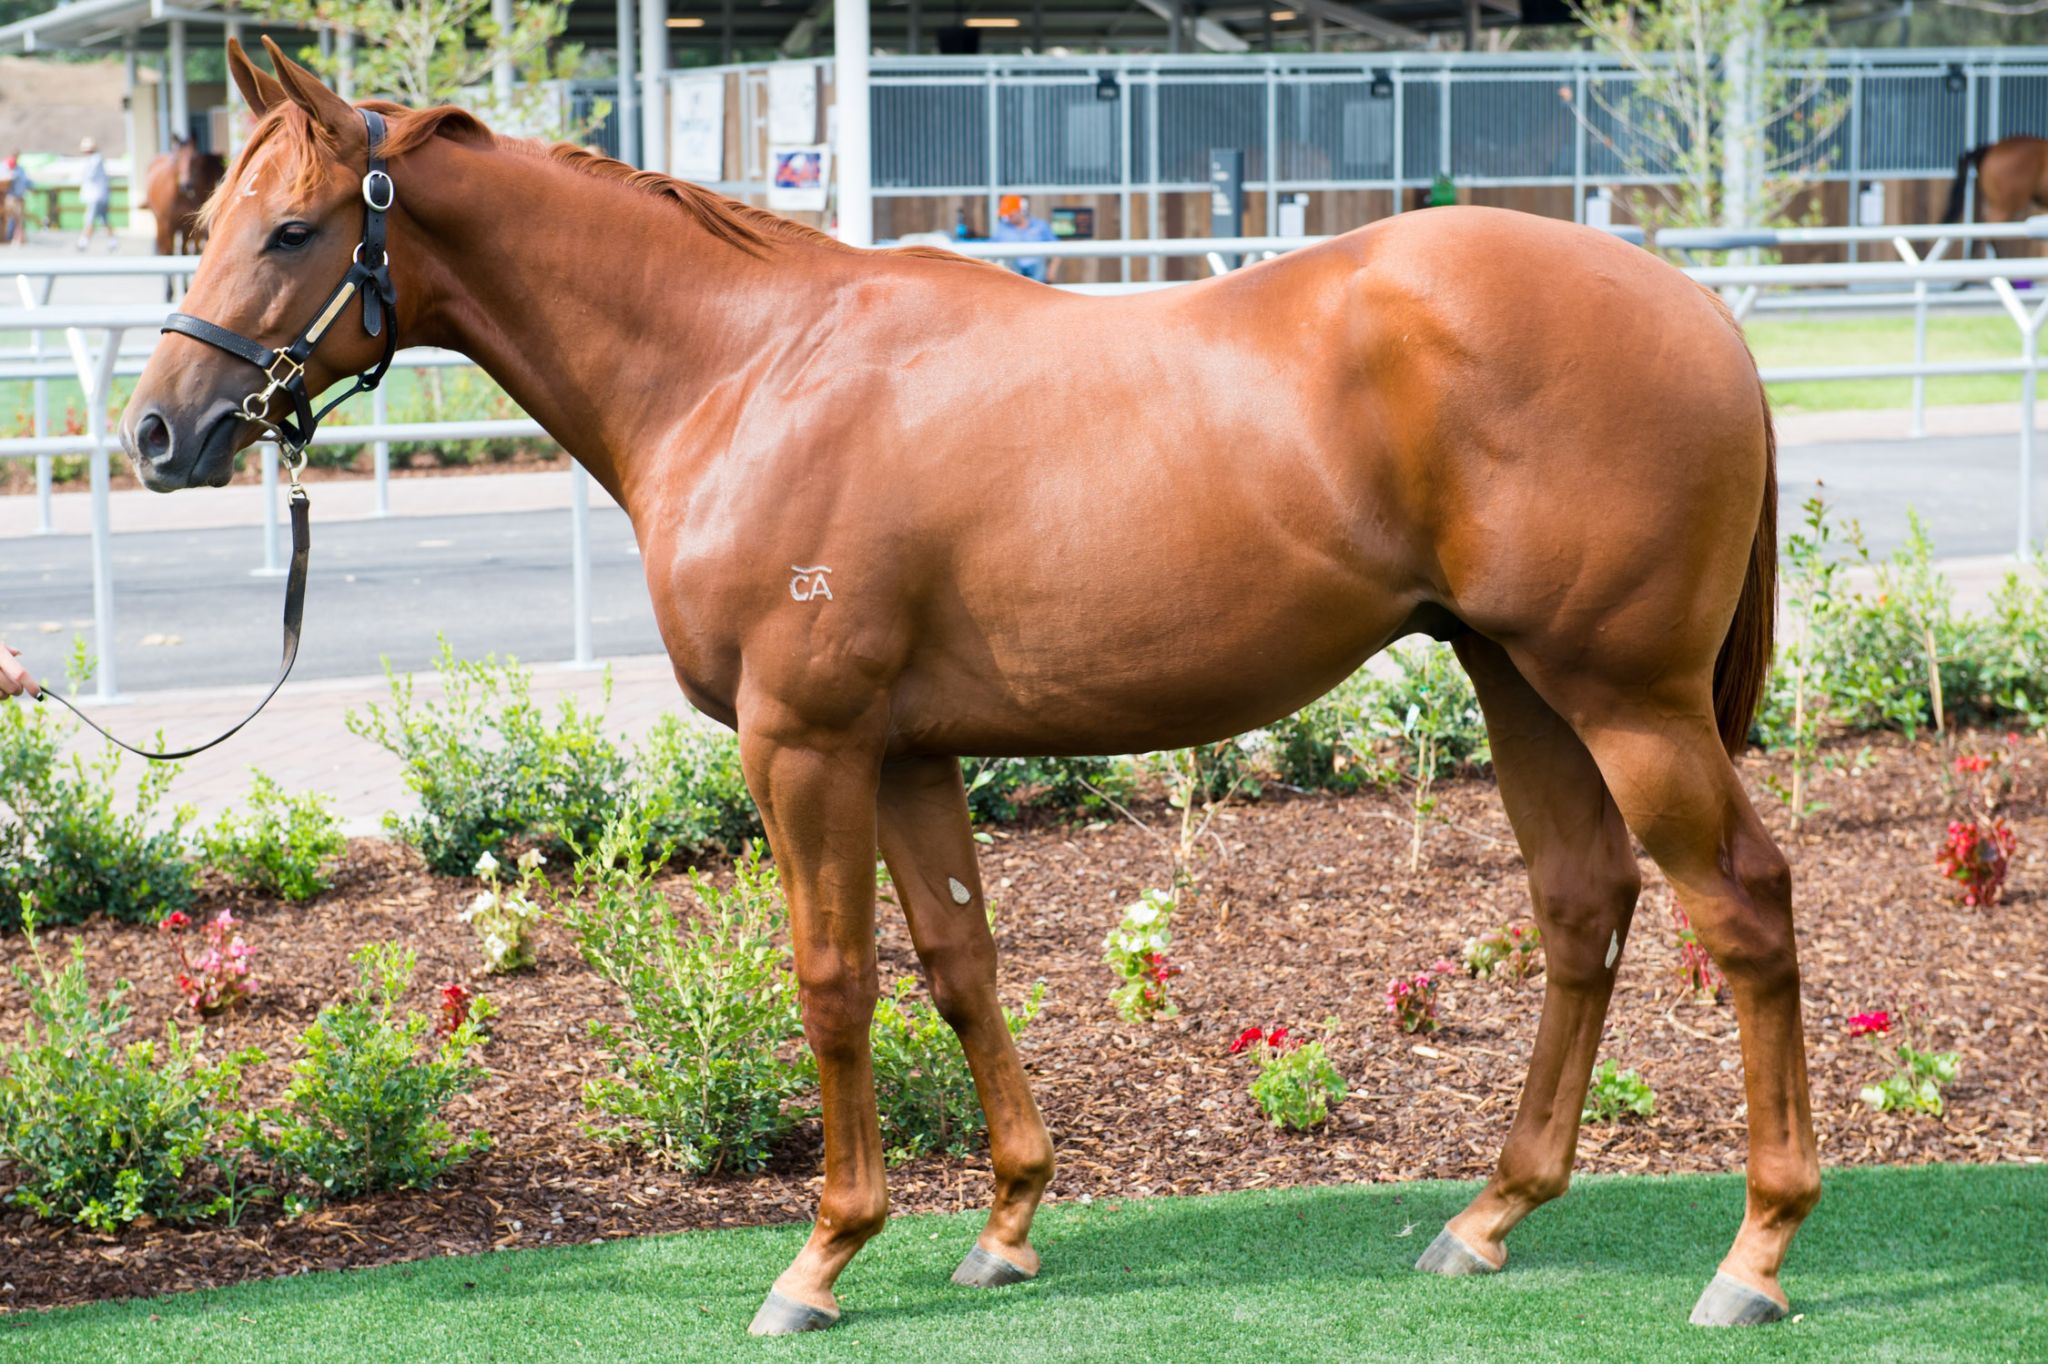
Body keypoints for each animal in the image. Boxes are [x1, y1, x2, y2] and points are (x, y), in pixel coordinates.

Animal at [123, 37, 1814, 1336]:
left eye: (291, 231)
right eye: (214, 215)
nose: (157, 434)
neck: (747, 369)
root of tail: (1699, 313)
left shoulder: (801, 745)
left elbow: (835, 983)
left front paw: (820, 1259)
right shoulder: (906, 751)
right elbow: (958, 966)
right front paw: (1003, 1227)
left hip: (1626, 699)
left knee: (1743, 907)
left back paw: (1755, 1253)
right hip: (1518, 680)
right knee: (1584, 909)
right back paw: (1492, 1214)